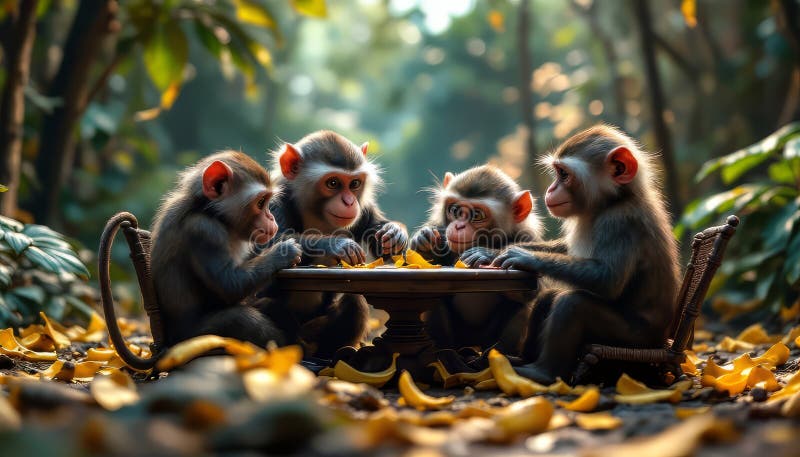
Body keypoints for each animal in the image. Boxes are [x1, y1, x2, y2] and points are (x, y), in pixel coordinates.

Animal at [150, 150, 302, 348]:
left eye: (267, 201)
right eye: (261, 202)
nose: (271, 218)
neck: (210, 213)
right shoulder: (204, 230)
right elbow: (229, 285)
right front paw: (283, 252)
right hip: (193, 338)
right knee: (241, 319)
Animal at [262, 130, 408, 358]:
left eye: (354, 184)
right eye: (332, 183)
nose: (349, 202)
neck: (316, 213)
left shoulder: (363, 208)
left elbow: (382, 246)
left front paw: (395, 233)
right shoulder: (274, 202)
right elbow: (271, 251)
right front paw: (337, 245)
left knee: (353, 301)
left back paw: (331, 353)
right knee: (269, 305)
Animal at [409, 165, 543, 354]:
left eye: (477, 215)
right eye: (455, 211)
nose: (458, 226)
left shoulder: (529, 241)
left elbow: (531, 289)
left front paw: (487, 254)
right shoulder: (439, 228)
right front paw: (423, 241)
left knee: (517, 307)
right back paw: (447, 353)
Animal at [489, 124, 681, 384]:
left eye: (564, 174)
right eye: (557, 173)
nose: (551, 189)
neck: (614, 200)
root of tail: (663, 341)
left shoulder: (620, 222)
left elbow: (607, 279)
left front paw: (526, 258)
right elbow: (566, 250)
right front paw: (489, 252)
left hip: (634, 339)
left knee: (574, 304)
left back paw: (542, 373)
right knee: (550, 298)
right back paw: (522, 359)